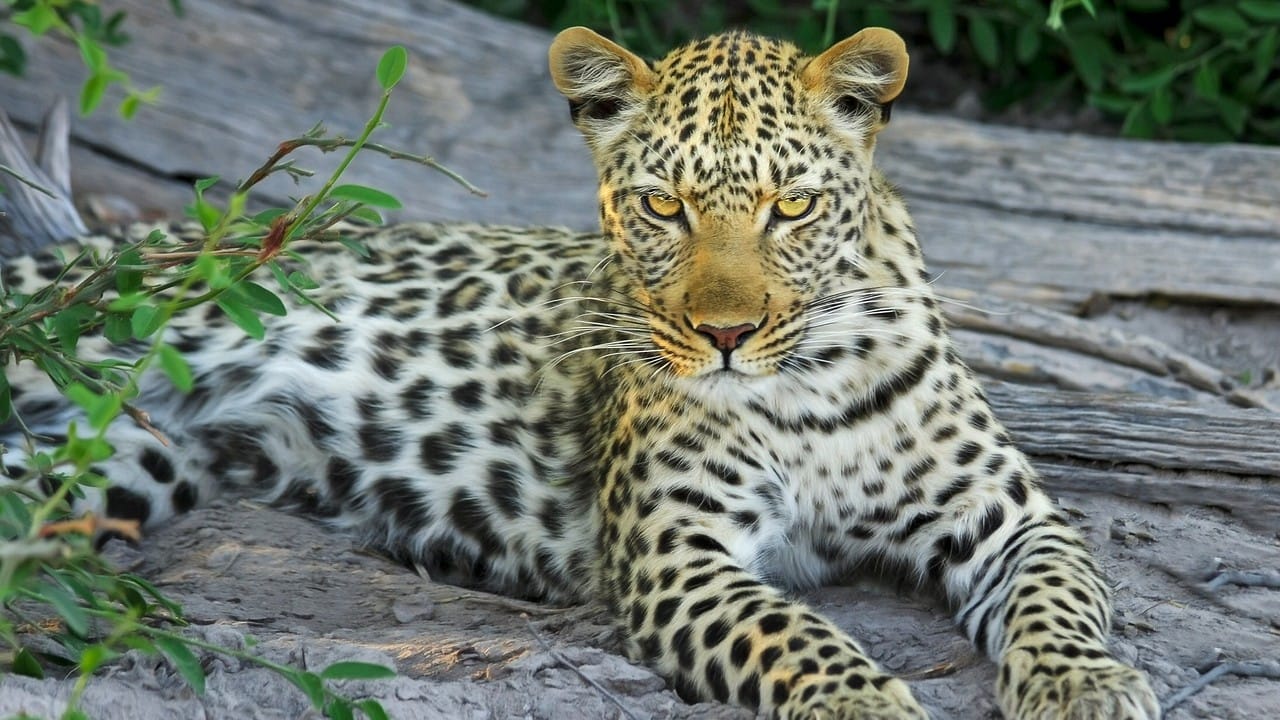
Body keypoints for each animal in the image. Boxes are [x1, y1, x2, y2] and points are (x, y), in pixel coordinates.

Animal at [0, 25, 1161, 720]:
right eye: (662, 206)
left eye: (790, 206)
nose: (726, 334)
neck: (808, 384)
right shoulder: (677, 554)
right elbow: (799, 635)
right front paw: (866, 704)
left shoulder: (1008, 516)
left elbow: (1060, 600)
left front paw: (1089, 688)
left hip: (118, 460)